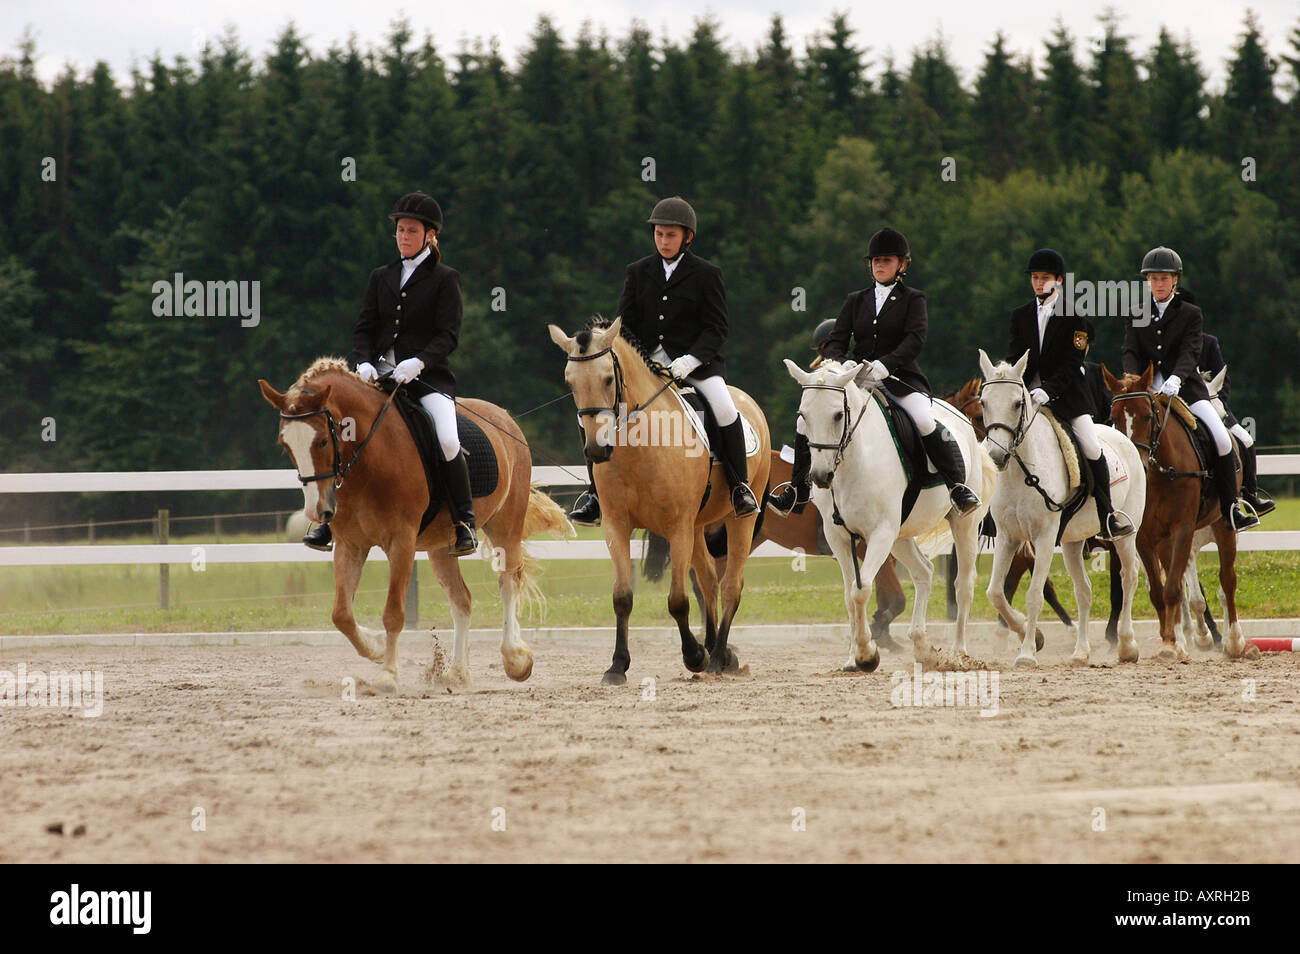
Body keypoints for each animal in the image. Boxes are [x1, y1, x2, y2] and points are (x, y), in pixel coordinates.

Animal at [258, 358, 570, 693]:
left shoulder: (402, 542)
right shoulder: (350, 545)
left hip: (505, 526)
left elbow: (394, 613)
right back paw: (457, 673)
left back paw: (515, 659)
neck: (371, 460)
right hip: (441, 547)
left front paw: (387, 675)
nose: (318, 511)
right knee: (462, 600)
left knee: (508, 582)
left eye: (322, 441)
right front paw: (376, 648)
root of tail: (505, 418)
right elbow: (341, 614)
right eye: (285, 445)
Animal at [548, 318, 772, 683]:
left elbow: (678, 599)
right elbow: (622, 597)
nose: (596, 449)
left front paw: (694, 656)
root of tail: (747, 401)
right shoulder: (616, 526)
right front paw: (617, 666)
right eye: (570, 382)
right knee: (709, 581)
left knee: (730, 586)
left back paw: (716, 657)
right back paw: (717, 652)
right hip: (697, 526)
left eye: (608, 378)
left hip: (739, 520)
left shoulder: (676, 527)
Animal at [784, 359, 996, 670]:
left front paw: (866, 654)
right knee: (924, 571)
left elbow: (860, 591)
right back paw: (922, 645)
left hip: (963, 523)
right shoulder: (838, 537)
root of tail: (963, 422)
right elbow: (849, 595)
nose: (821, 476)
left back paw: (958, 653)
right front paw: (853, 658)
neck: (854, 462)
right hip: (901, 536)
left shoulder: (880, 534)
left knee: (964, 584)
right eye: (803, 415)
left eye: (838, 415)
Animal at [978, 350, 1146, 667]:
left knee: (1128, 578)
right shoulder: (1008, 537)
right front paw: (1030, 634)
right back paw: (1081, 652)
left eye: (1017, 403)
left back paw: (1128, 645)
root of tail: (1125, 439)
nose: (996, 456)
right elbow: (994, 592)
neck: (1021, 472)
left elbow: (1034, 595)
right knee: (1084, 591)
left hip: (1125, 535)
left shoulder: (1044, 537)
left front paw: (1027, 653)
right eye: (984, 402)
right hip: (1071, 542)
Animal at [1104, 363, 1248, 659]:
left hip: (1223, 525)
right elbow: (1162, 592)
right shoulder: (1145, 536)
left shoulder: (1183, 530)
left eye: (1148, 416)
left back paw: (1234, 641)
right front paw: (1172, 640)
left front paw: (1176, 643)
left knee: (1227, 579)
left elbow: (1175, 590)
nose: (1138, 466)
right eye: (1113, 419)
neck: (1161, 472)